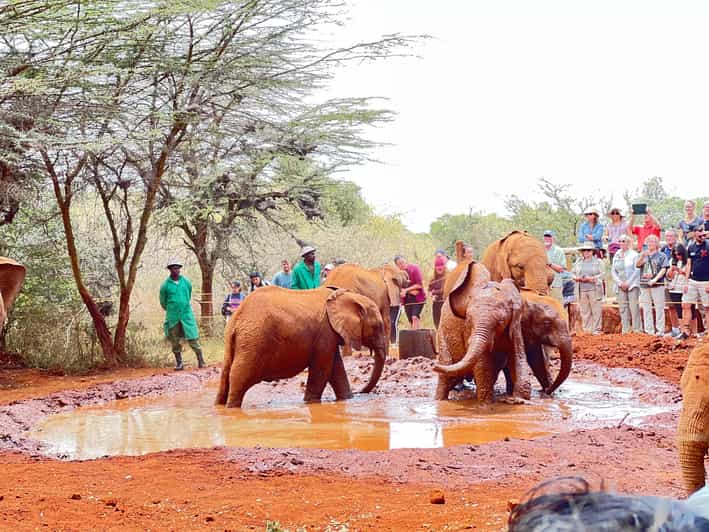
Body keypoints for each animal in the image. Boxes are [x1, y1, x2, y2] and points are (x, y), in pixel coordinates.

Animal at [215, 286, 388, 408]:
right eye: (378, 326)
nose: (360, 391)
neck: (346, 295)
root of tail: (236, 318)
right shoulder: (325, 333)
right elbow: (322, 370)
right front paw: (310, 403)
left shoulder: (329, 336)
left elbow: (336, 370)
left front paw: (346, 399)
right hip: (253, 341)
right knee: (239, 376)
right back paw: (232, 408)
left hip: (237, 342)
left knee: (225, 377)